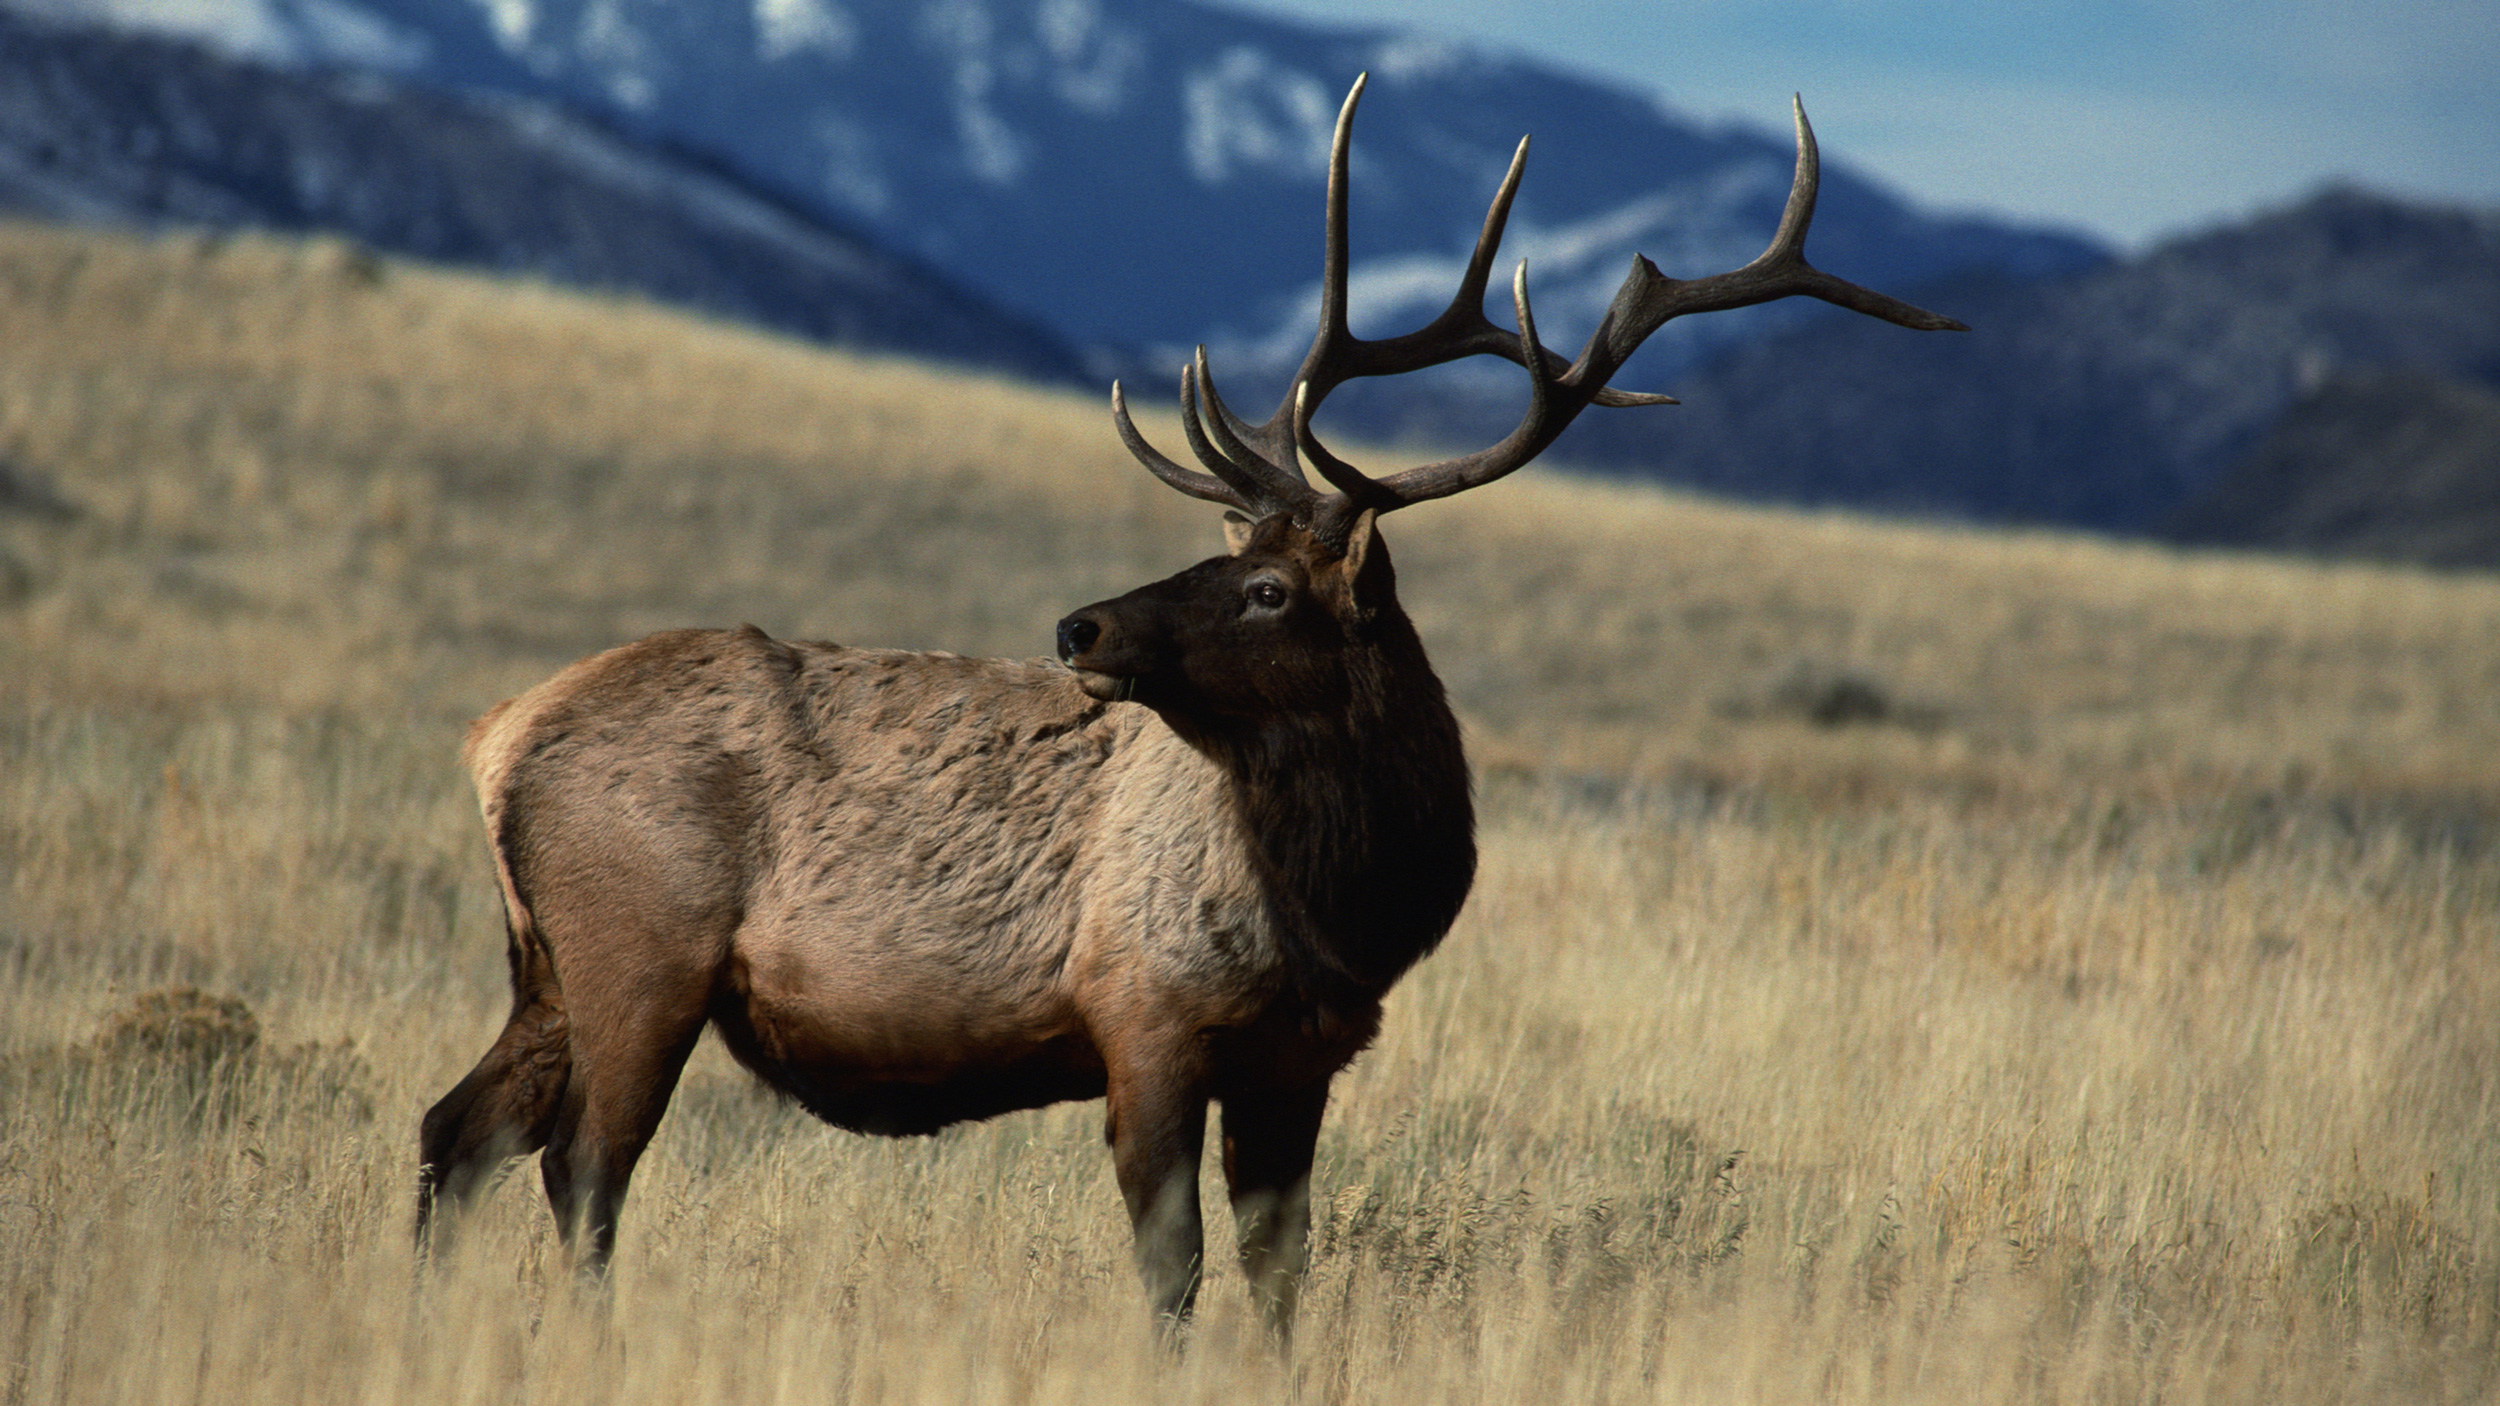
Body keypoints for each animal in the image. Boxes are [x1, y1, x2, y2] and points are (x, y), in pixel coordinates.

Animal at [414, 74, 1961, 1339]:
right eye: (1228, 560)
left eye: (1268, 587)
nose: (1080, 624)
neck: (1350, 907)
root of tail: (496, 736)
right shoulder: (1143, 1007)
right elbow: (1175, 1269)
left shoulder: (1302, 1054)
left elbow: (1282, 1271)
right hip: (641, 943)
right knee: (582, 1171)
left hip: (549, 962)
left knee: (456, 1132)